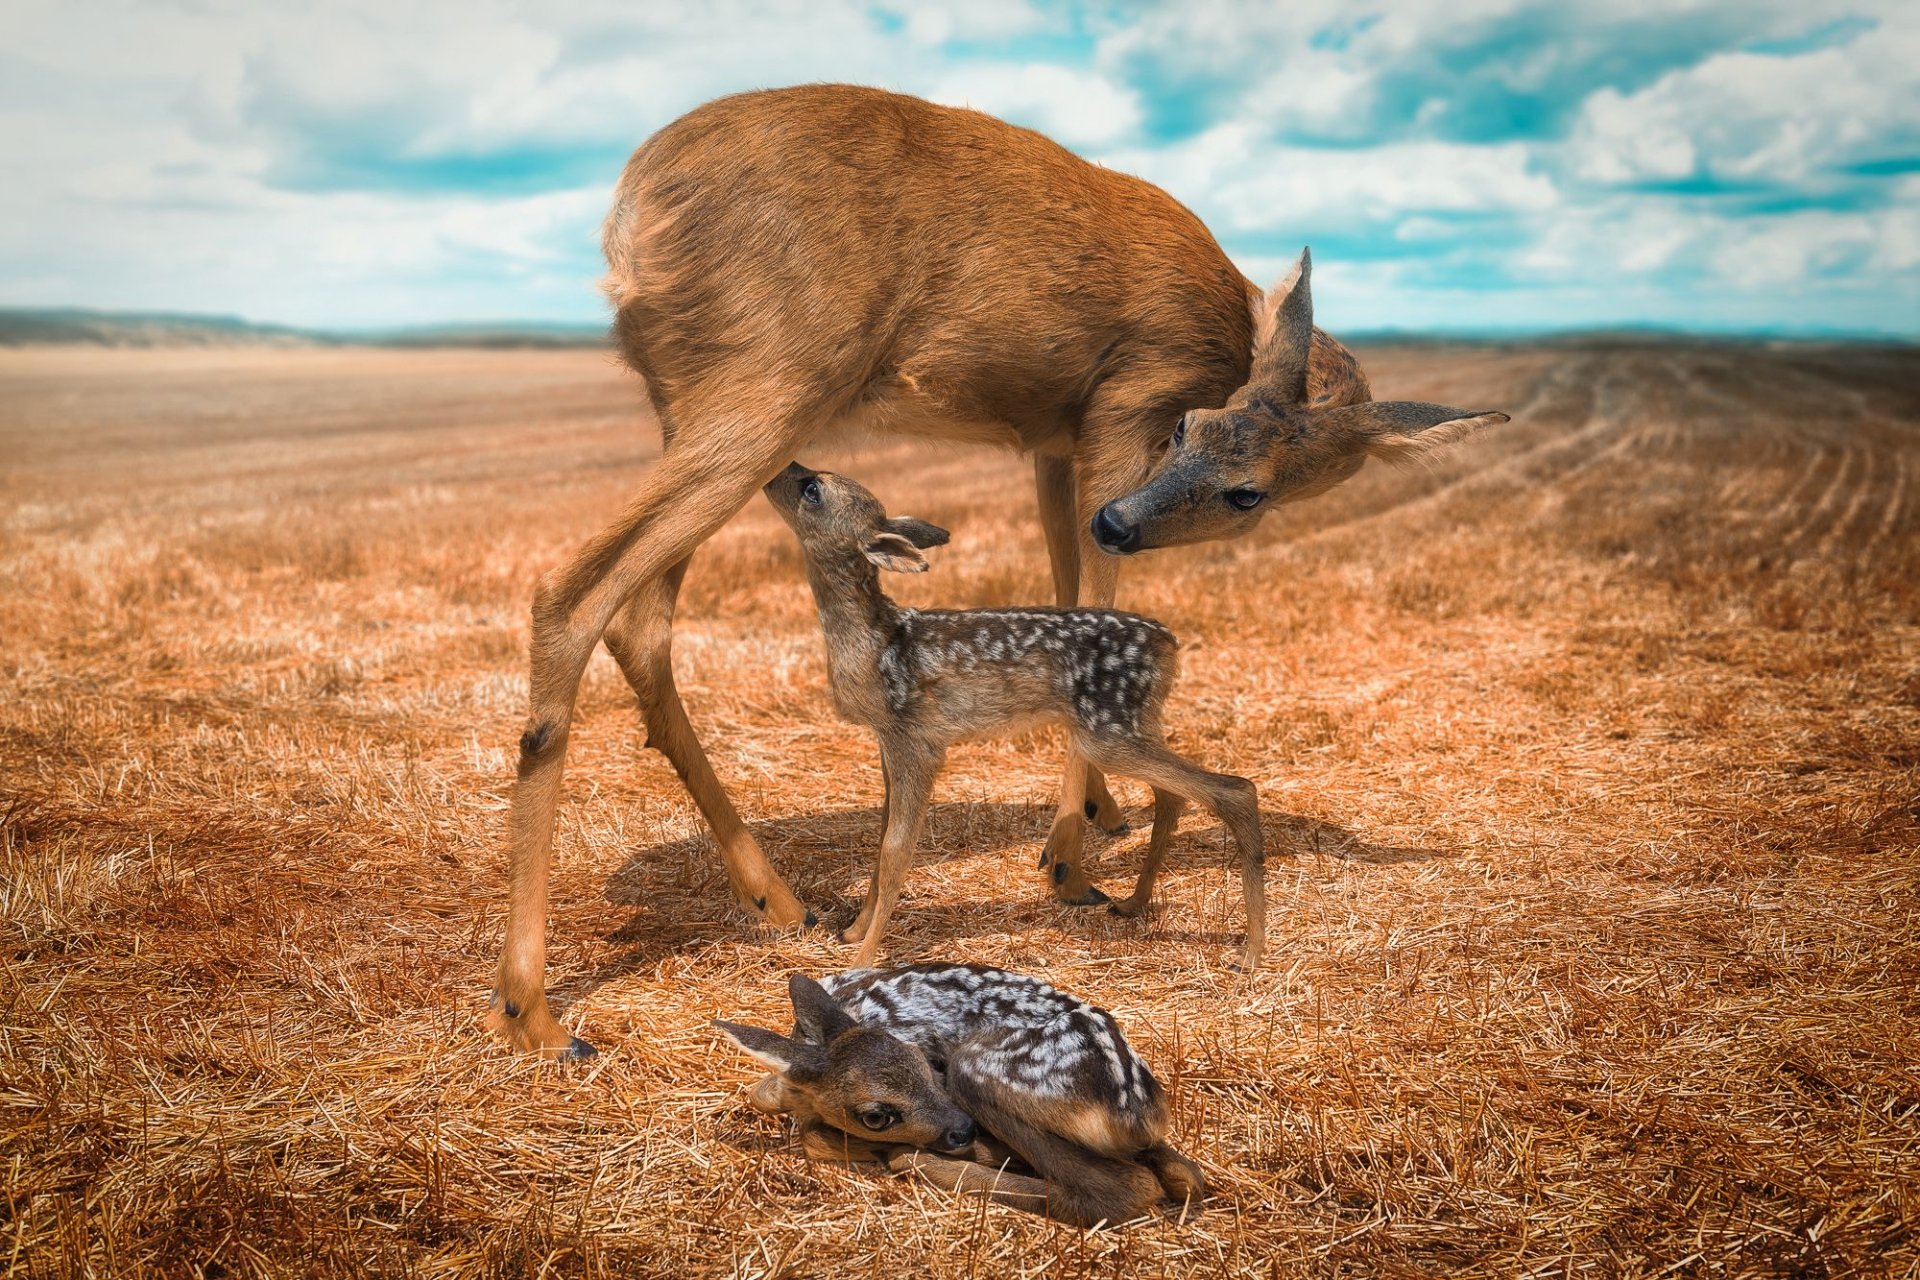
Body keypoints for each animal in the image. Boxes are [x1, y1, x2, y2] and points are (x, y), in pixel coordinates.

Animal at [715, 966, 1206, 1228]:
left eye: (928, 1061)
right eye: (875, 1115)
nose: (963, 1130)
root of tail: (1132, 1114)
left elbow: (805, 1128)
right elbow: (764, 1092)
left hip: (975, 1065)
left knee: (1124, 1187)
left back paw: (917, 1161)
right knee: (1185, 1174)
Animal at [765, 462, 1264, 969]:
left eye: (813, 489)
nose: (783, 468)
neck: (874, 645)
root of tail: (1169, 643)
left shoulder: (918, 741)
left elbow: (895, 851)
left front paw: (862, 961)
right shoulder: (888, 740)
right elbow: (882, 840)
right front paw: (852, 933)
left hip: (1107, 731)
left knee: (1234, 789)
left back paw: (1251, 950)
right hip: (1132, 722)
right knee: (1175, 796)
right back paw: (1133, 903)